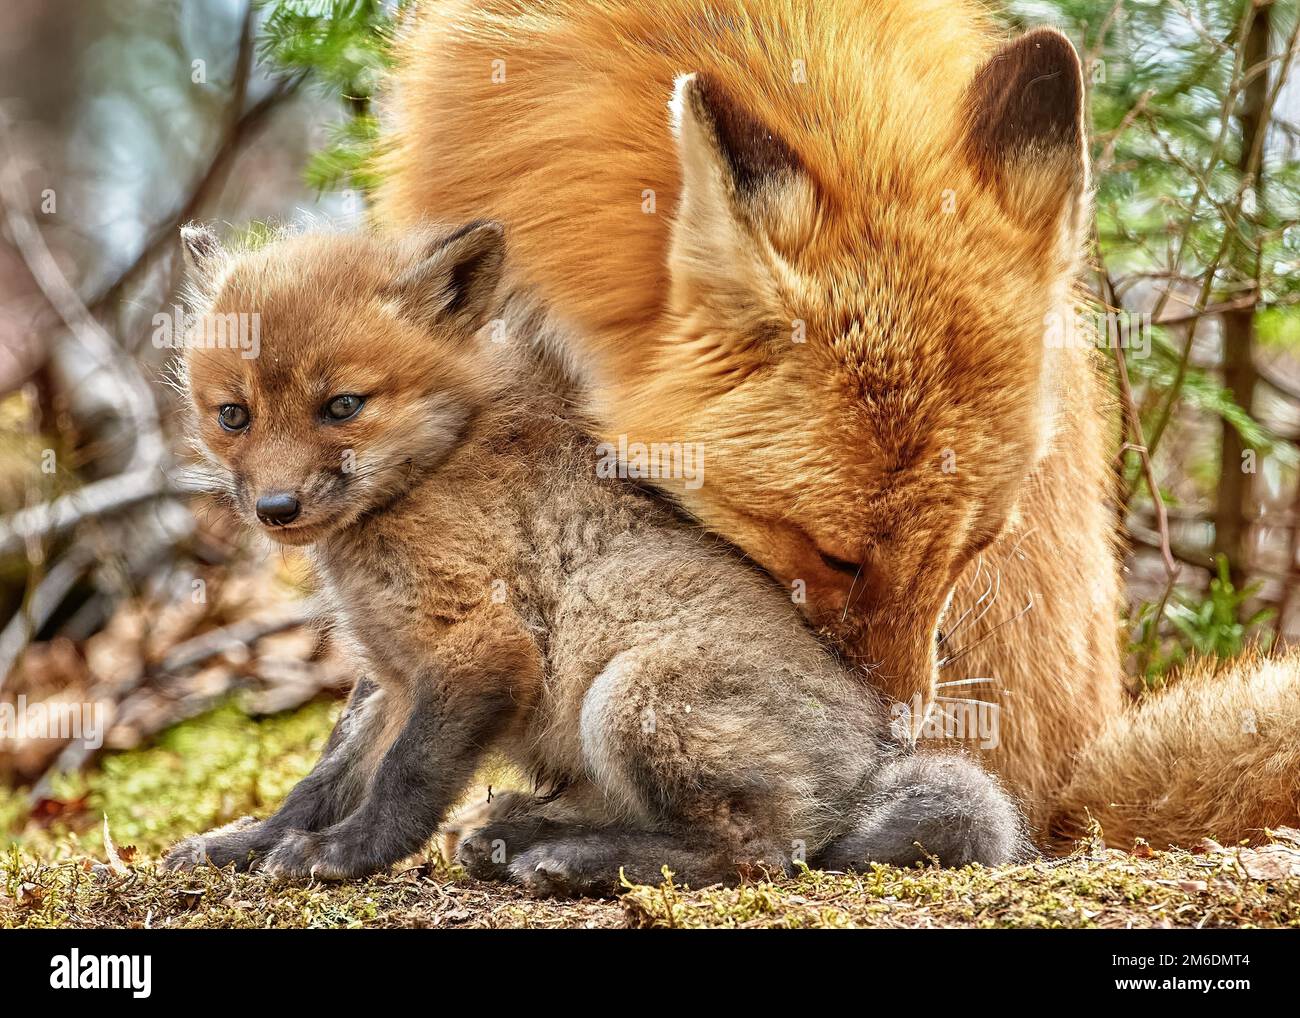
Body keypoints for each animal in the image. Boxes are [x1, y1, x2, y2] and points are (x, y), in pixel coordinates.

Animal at [162, 222, 1026, 891]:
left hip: (631, 695)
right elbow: (324, 780)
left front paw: (341, 857)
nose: (276, 509)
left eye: (342, 406)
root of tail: (873, 762)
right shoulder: (394, 671)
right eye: (233, 416)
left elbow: (403, 781)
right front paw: (247, 845)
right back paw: (518, 830)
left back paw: (572, 860)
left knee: (763, 852)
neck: (431, 469)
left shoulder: (481, 645)